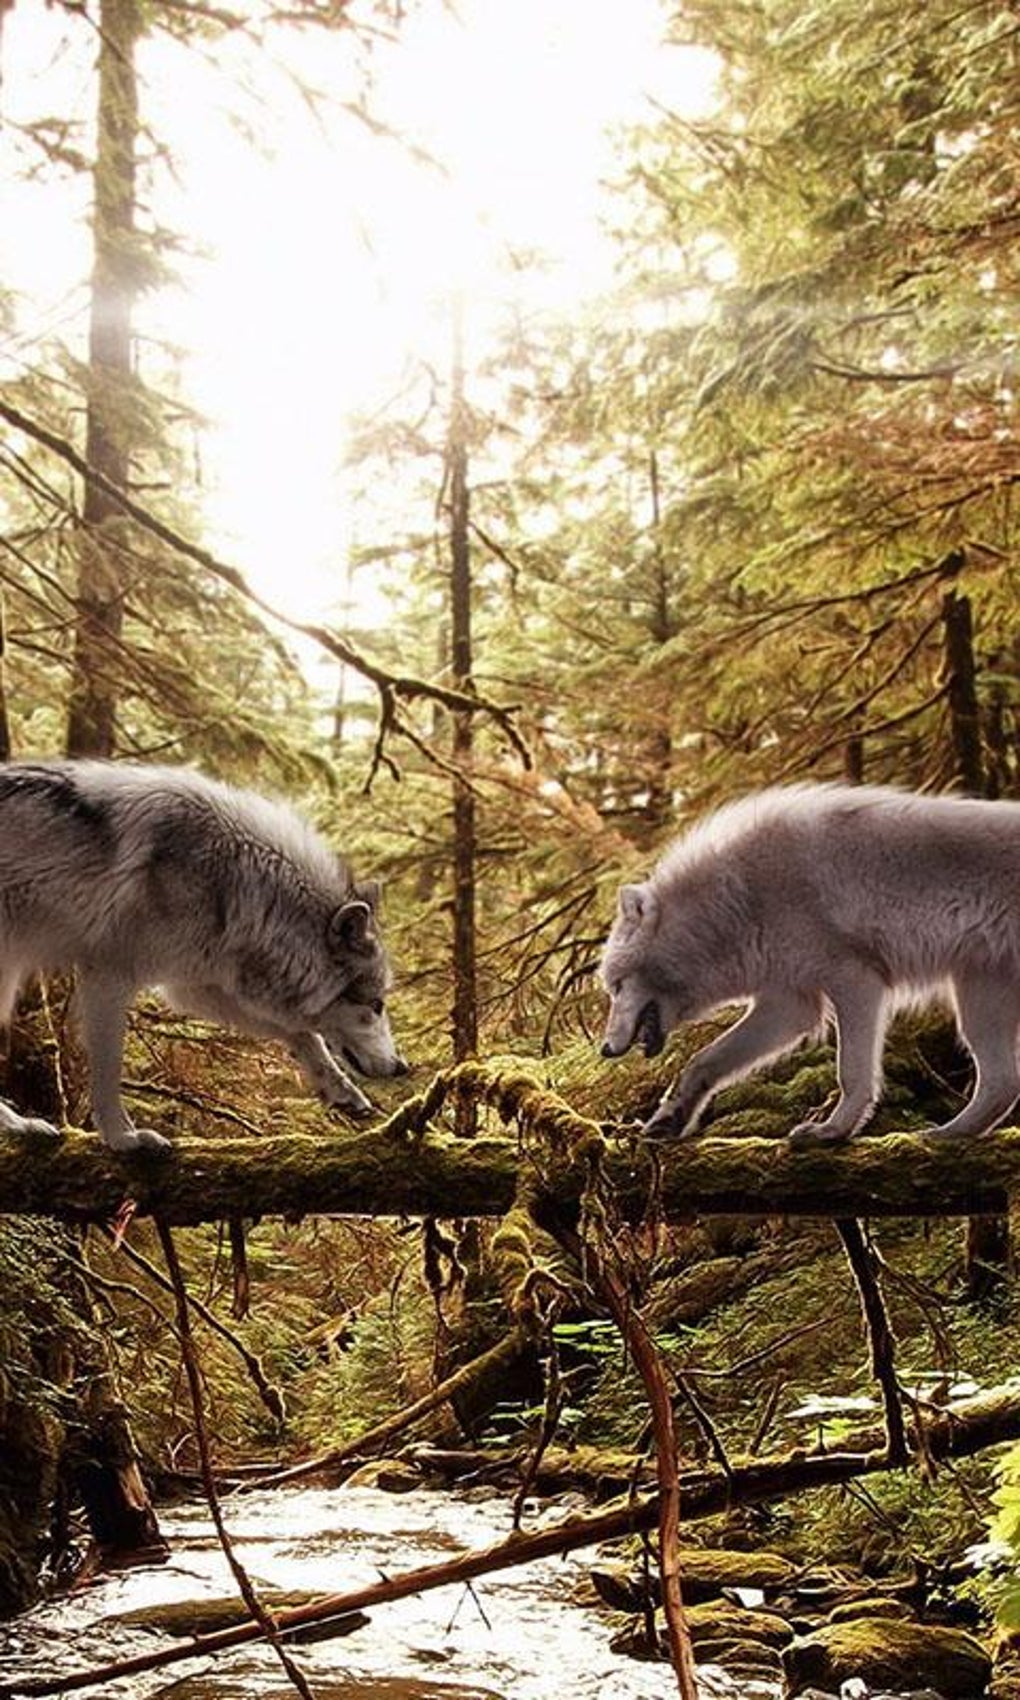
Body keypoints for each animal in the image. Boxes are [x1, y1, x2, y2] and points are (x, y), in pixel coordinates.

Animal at [0, 760, 408, 1153]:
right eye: (377, 1004)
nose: (402, 1067)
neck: (234, 884)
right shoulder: (108, 977)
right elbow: (108, 1072)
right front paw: (124, 1139)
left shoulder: (193, 988)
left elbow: (301, 1033)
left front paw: (341, 1090)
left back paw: (21, 1125)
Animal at [600, 782, 1020, 1144]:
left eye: (617, 985)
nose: (604, 1050)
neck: (736, 902)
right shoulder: (789, 1005)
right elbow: (702, 1062)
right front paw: (670, 1117)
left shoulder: (856, 981)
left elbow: (852, 1074)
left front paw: (833, 1131)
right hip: (977, 1005)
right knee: (1003, 1083)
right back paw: (948, 1133)